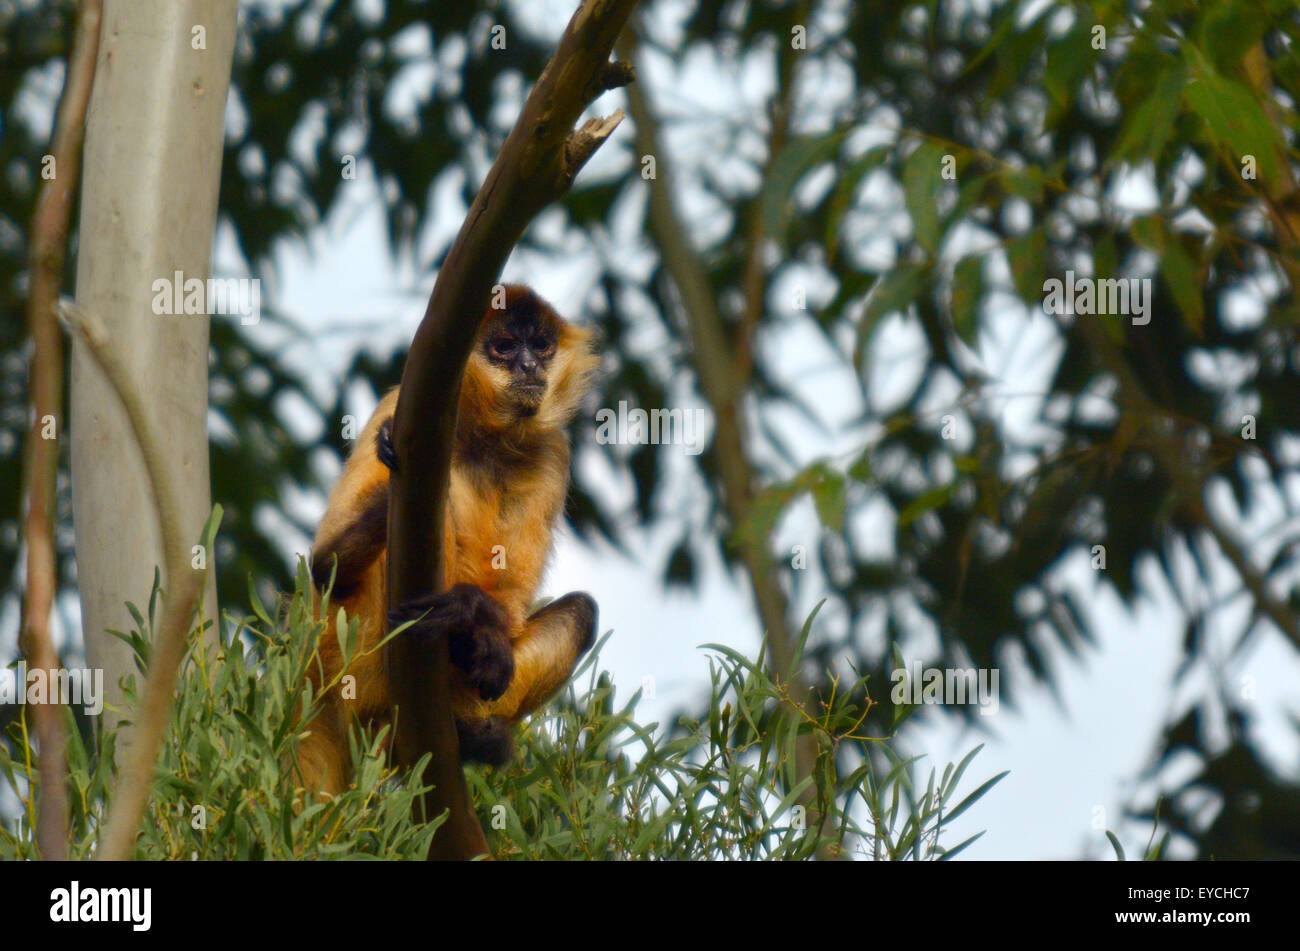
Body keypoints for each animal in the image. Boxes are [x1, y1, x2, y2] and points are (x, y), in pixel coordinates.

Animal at [295, 285, 600, 796]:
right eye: (504, 348)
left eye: (541, 346)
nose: (529, 367)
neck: (482, 435)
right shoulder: (398, 408)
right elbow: (326, 565)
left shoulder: (551, 450)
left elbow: (511, 604)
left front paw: (473, 618)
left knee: (581, 612)